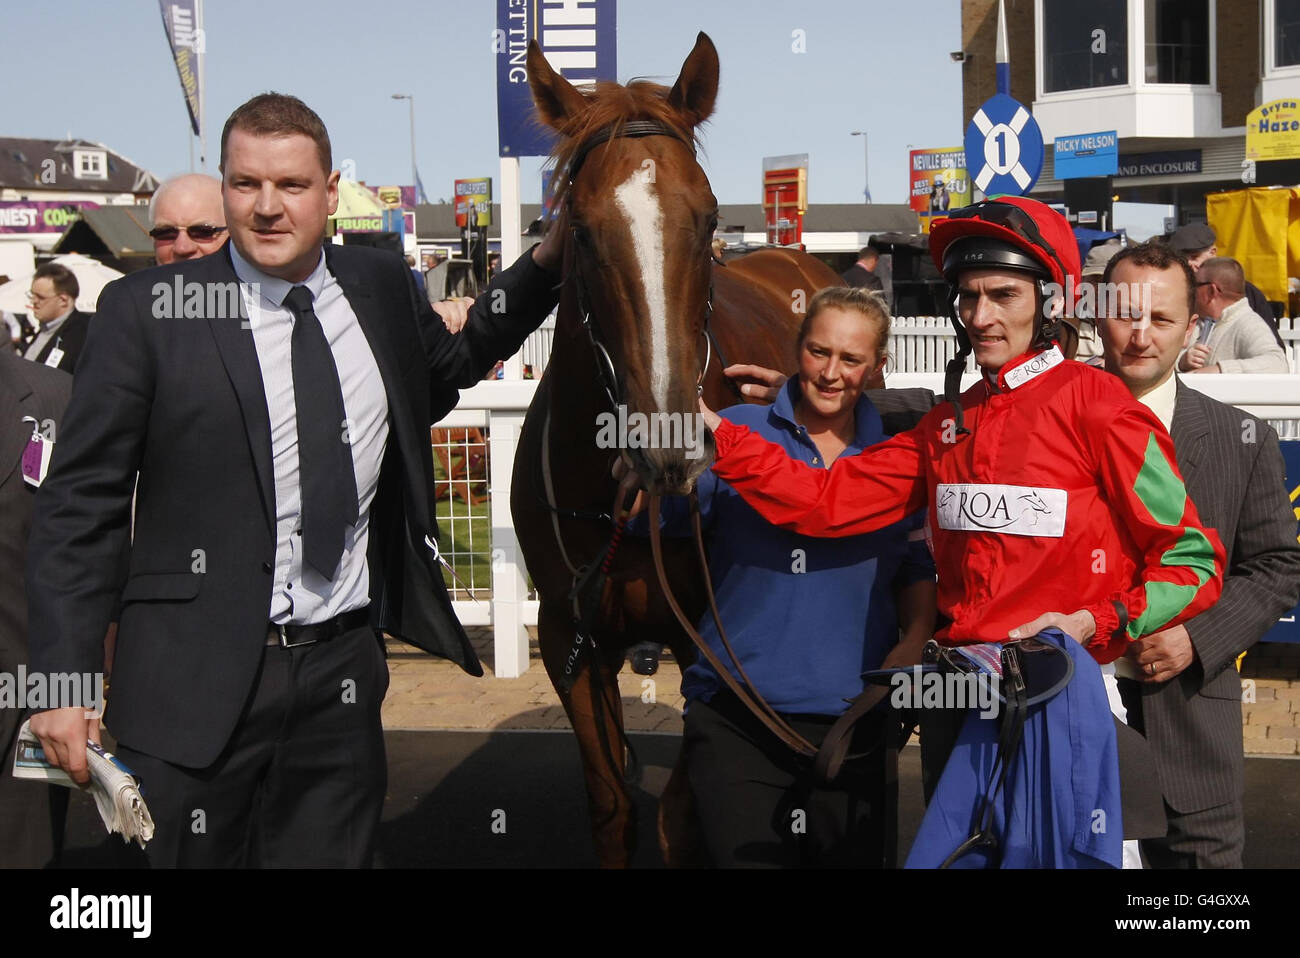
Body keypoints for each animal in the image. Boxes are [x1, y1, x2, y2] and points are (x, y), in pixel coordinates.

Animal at [510, 32, 842, 867]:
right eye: (579, 227)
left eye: (711, 214)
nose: (668, 449)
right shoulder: (572, 640)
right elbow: (612, 805)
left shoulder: (708, 644)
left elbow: (682, 815)